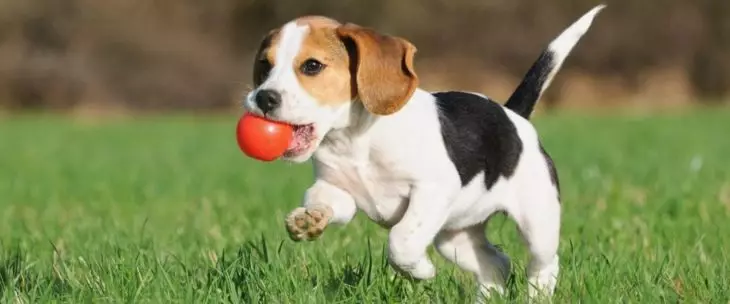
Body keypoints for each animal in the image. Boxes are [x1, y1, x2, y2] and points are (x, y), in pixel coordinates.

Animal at [243, 5, 604, 302]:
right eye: (264, 65)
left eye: (312, 66)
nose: (263, 98)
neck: (355, 139)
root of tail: (512, 114)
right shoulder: (337, 189)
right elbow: (323, 200)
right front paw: (309, 219)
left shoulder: (432, 189)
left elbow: (401, 240)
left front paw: (421, 271)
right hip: (455, 237)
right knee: (496, 264)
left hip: (537, 223)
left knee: (543, 265)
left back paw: (537, 295)